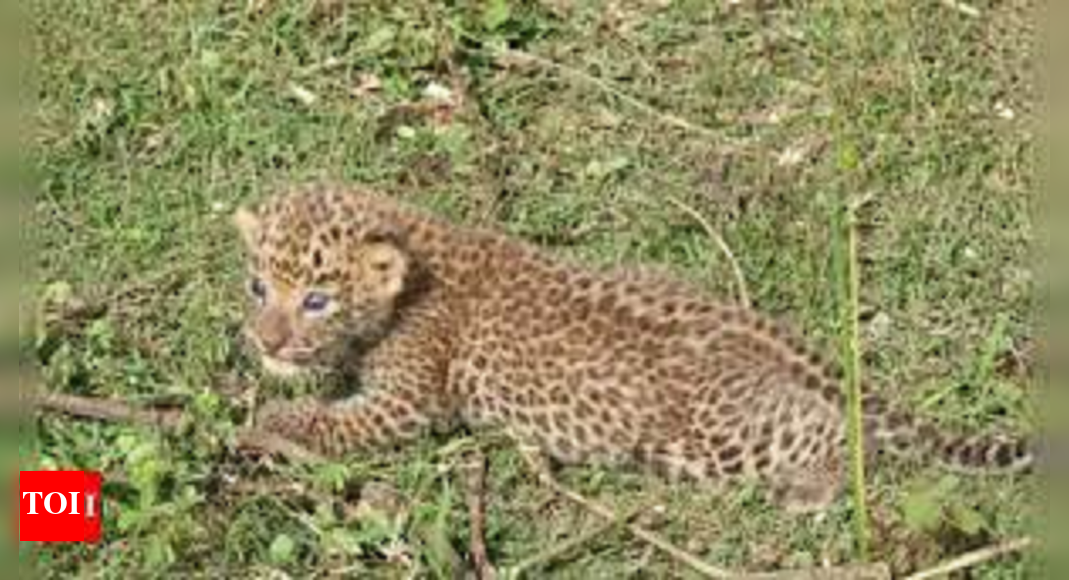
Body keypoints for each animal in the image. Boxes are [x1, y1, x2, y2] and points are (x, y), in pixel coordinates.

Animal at [233, 182, 1032, 513]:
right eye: (257, 287)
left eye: (315, 299)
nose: (264, 338)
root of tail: (767, 333)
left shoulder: (404, 403)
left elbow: (335, 422)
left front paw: (267, 425)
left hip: (726, 437)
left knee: (831, 434)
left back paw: (812, 490)